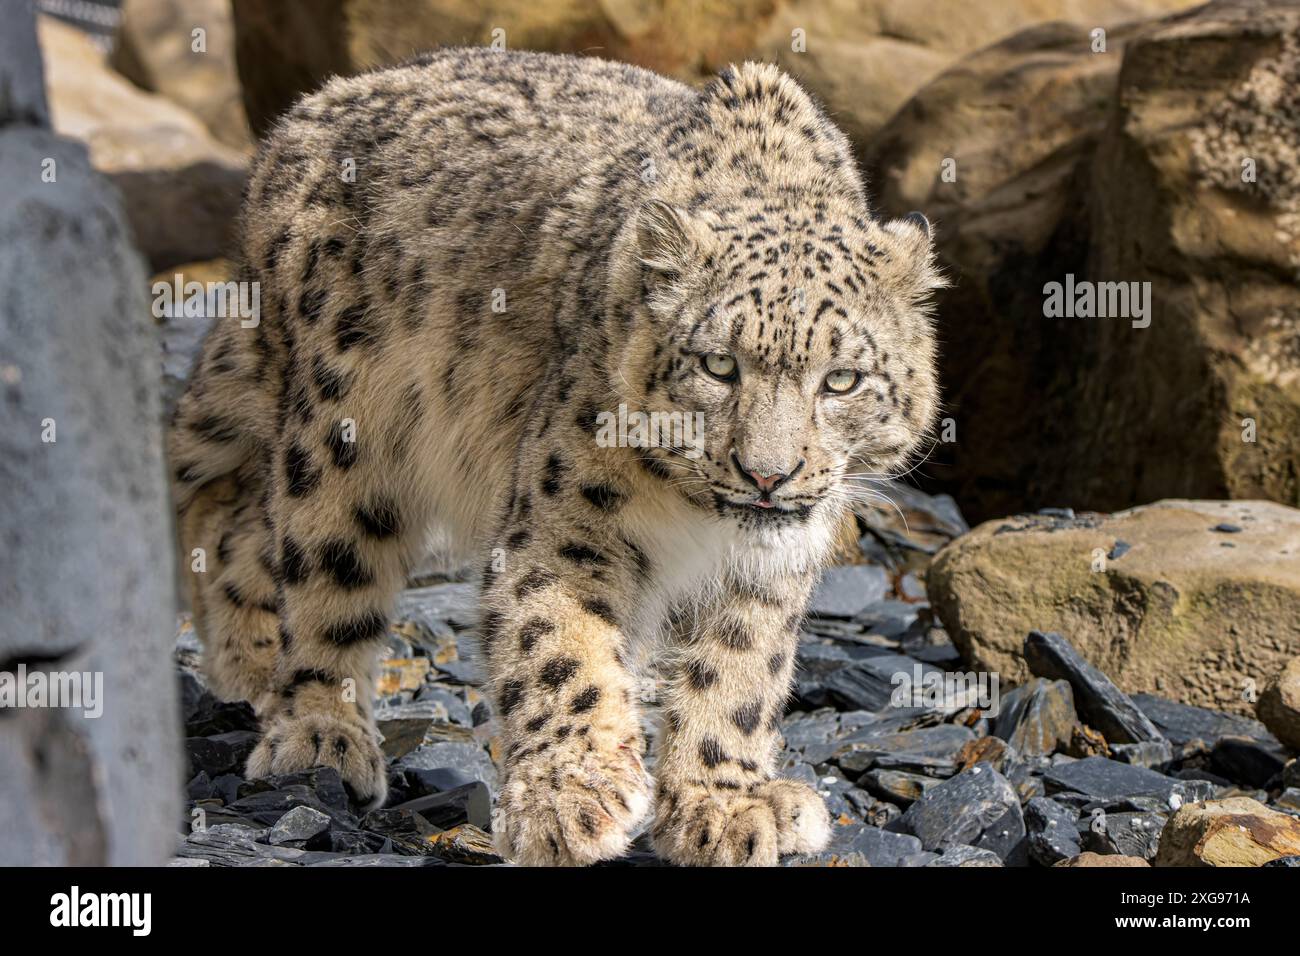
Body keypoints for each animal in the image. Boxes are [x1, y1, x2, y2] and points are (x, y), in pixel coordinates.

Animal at [168, 46, 943, 867]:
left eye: (842, 380)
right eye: (719, 365)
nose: (768, 473)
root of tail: (300, 118)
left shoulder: (767, 567)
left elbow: (739, 668)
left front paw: (721, 804)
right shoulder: (570, 523)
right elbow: (561, 648)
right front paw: (571, 799)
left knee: (240, 514)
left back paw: (248, 666)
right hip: (342, 427)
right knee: (322, 567)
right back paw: (317, 732)